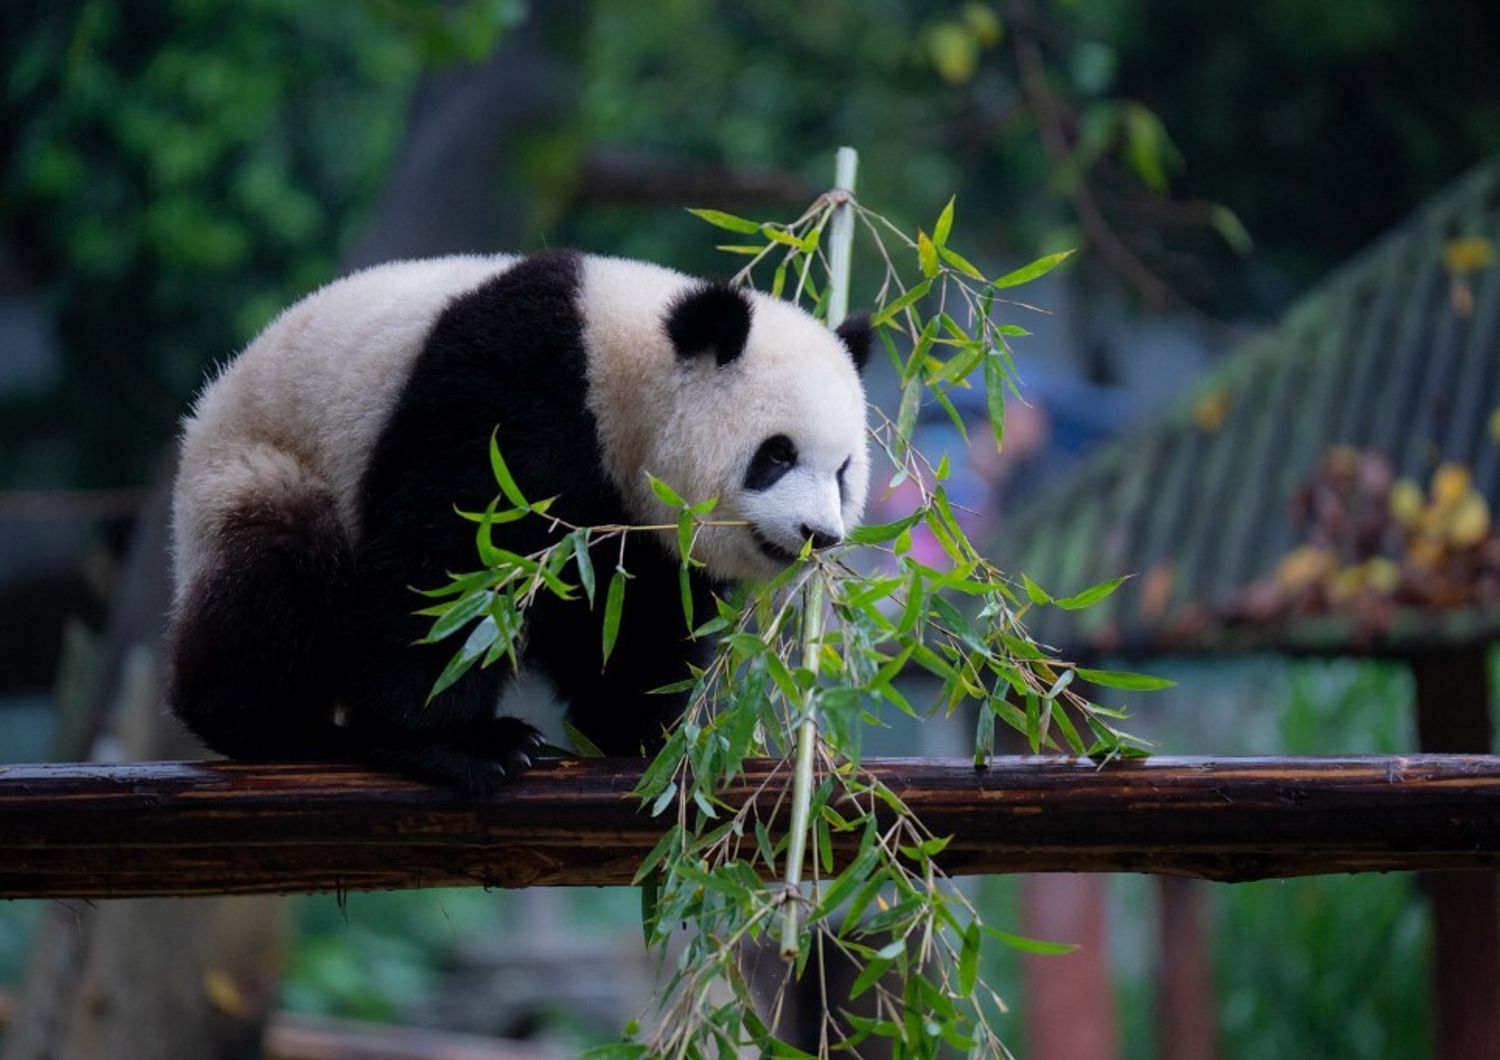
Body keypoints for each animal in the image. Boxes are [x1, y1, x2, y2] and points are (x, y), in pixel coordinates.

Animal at [167, 250, 871, 795]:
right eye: (776, 455)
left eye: (842, 471)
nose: (819, 535)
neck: (620, 370)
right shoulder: (513, 387)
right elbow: (448, 563)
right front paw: (465, 745)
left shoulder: (633, 526)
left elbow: (639, 613)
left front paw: (644, 730)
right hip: (258, 470)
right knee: (280, 574)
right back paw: (275, 725)